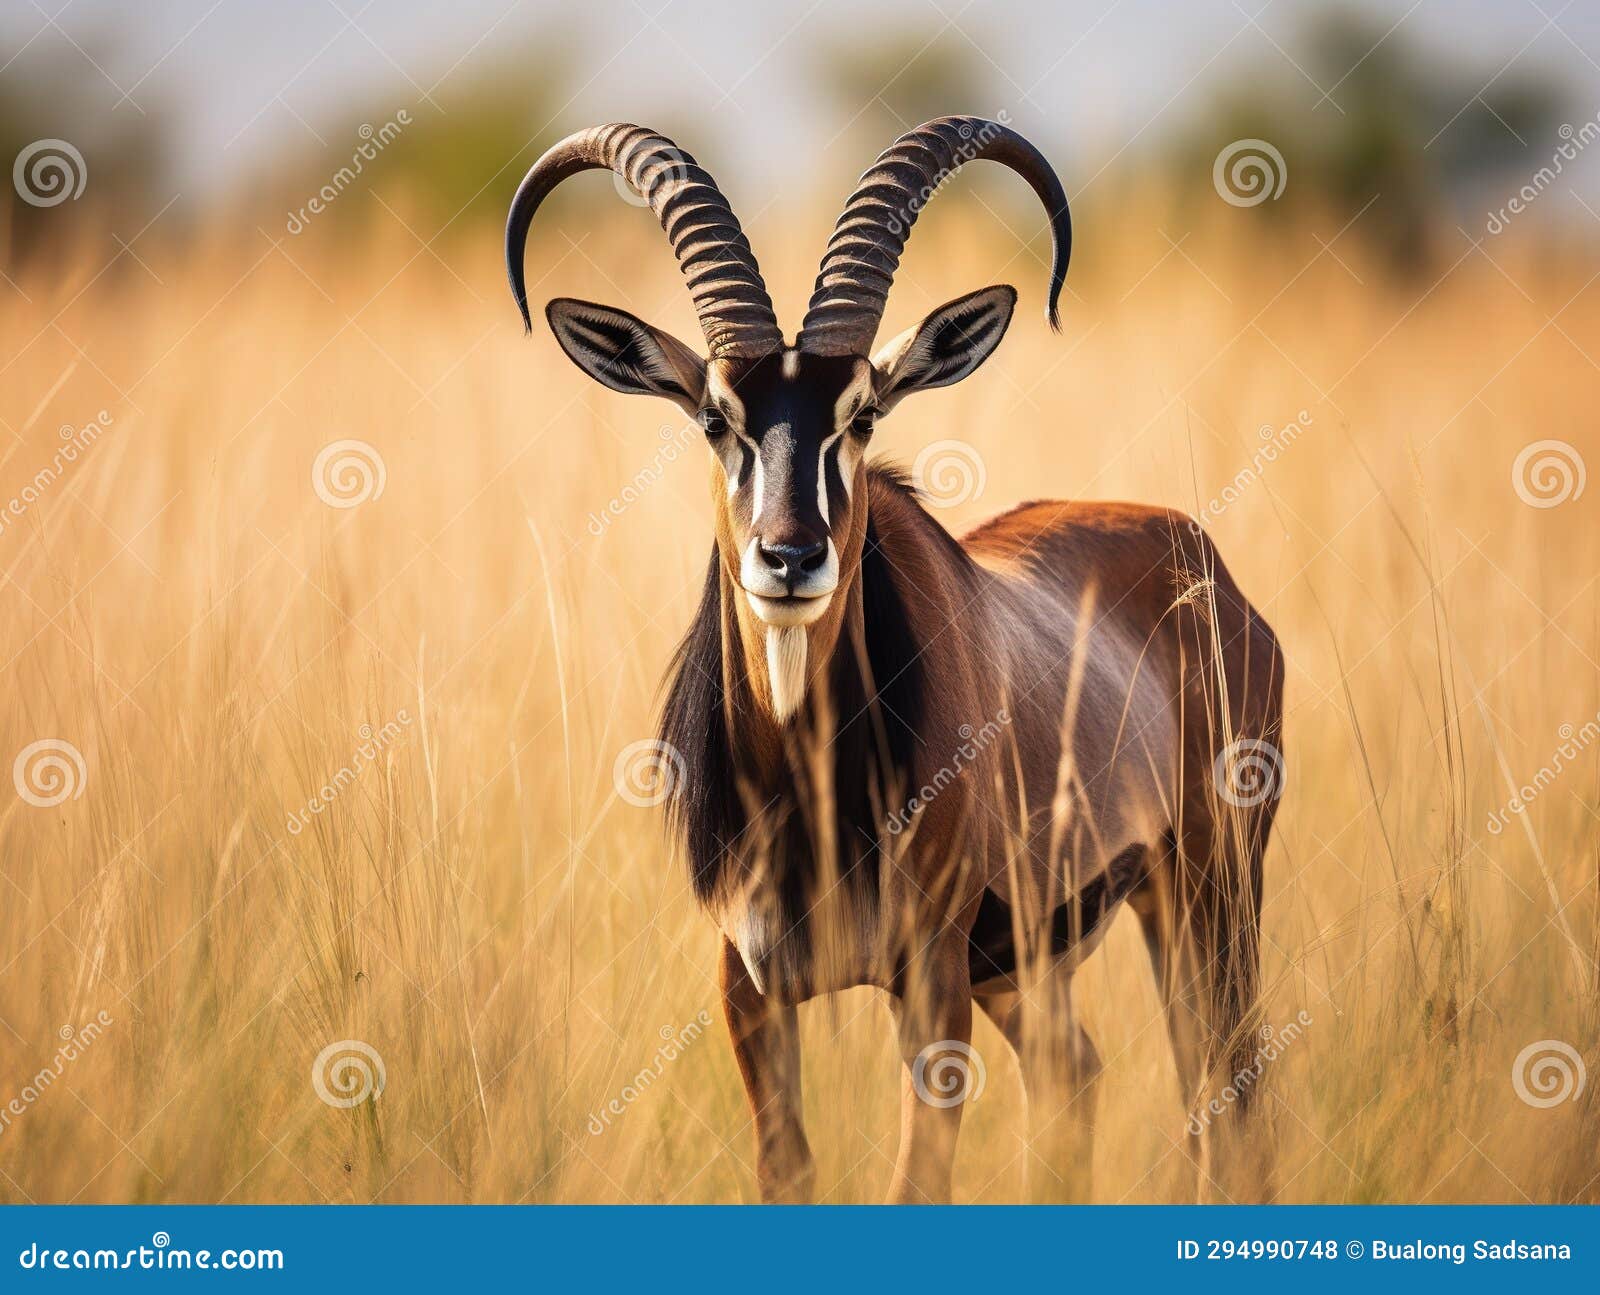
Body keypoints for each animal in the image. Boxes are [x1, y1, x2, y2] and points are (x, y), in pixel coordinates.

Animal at [506, 118, 1285, 1204]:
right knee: (1077, 1076)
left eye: (863, 412)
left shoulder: (927, 980)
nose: (790, 557)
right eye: (714, 417)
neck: (806, 795)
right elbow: (786, 1169)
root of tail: (1196, 555)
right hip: (1034, 966)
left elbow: (919, 1181)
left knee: (1225, 1096)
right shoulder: (750, 986)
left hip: (1206, 893)